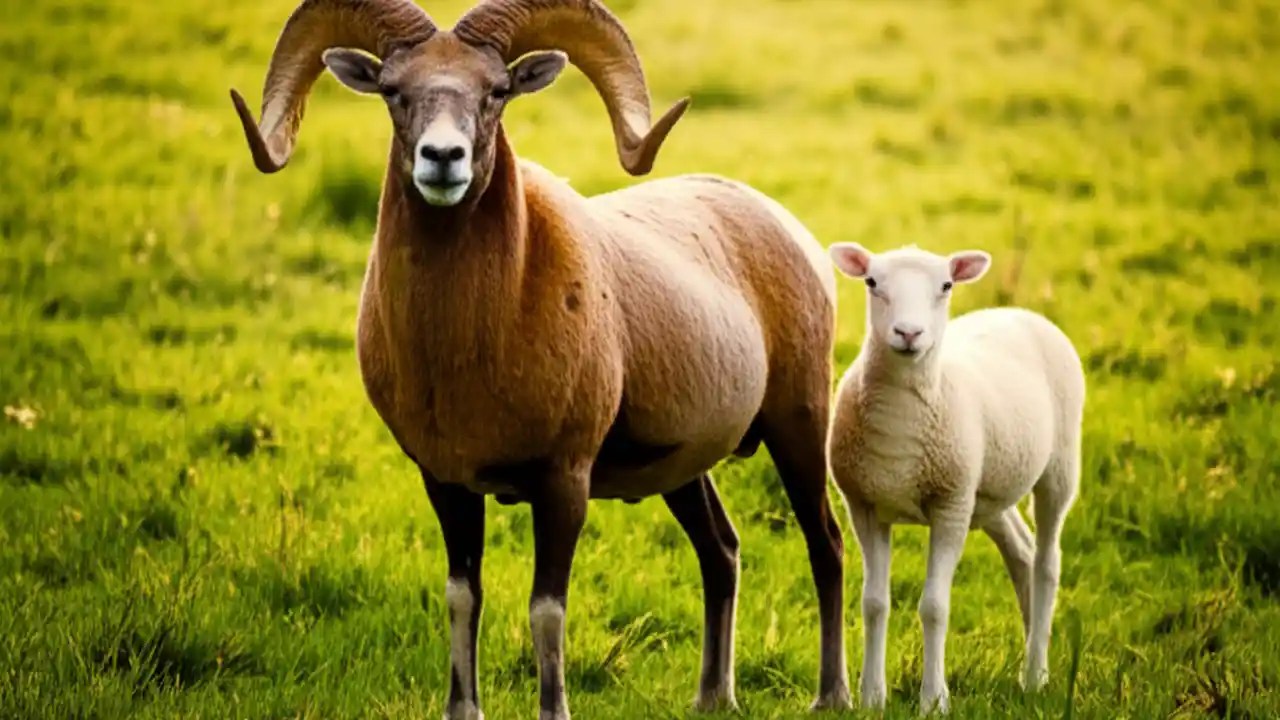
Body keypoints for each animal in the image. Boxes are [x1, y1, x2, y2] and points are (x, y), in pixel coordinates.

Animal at [228, 1, 850, 717]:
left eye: (496, 92)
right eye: (393, 91)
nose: (443, 159)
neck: (468, 347)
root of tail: (788, 229)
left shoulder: (564, 481)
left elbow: (546, 610)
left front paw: (554, 708)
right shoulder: (445, 482)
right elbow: (462, 597)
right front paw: (462, 709)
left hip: (798, 424)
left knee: (826, 545)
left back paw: (832, 695)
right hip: (684, 471)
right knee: (720, 552)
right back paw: (712, 699)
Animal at [825, 243, 1084, 714]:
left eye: (946, 285)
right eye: (872, 282)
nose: (909, 333)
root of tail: (1018, 311)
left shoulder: (948, 507)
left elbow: (934, 606)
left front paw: (933, 699)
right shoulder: (865, 506)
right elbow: (874, 603)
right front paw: (872, 697)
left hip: (1056, 469)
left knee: (1046, 561)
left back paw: (1036, 673)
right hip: (983, 492)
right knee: (1022, 551)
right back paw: (1032, 648)